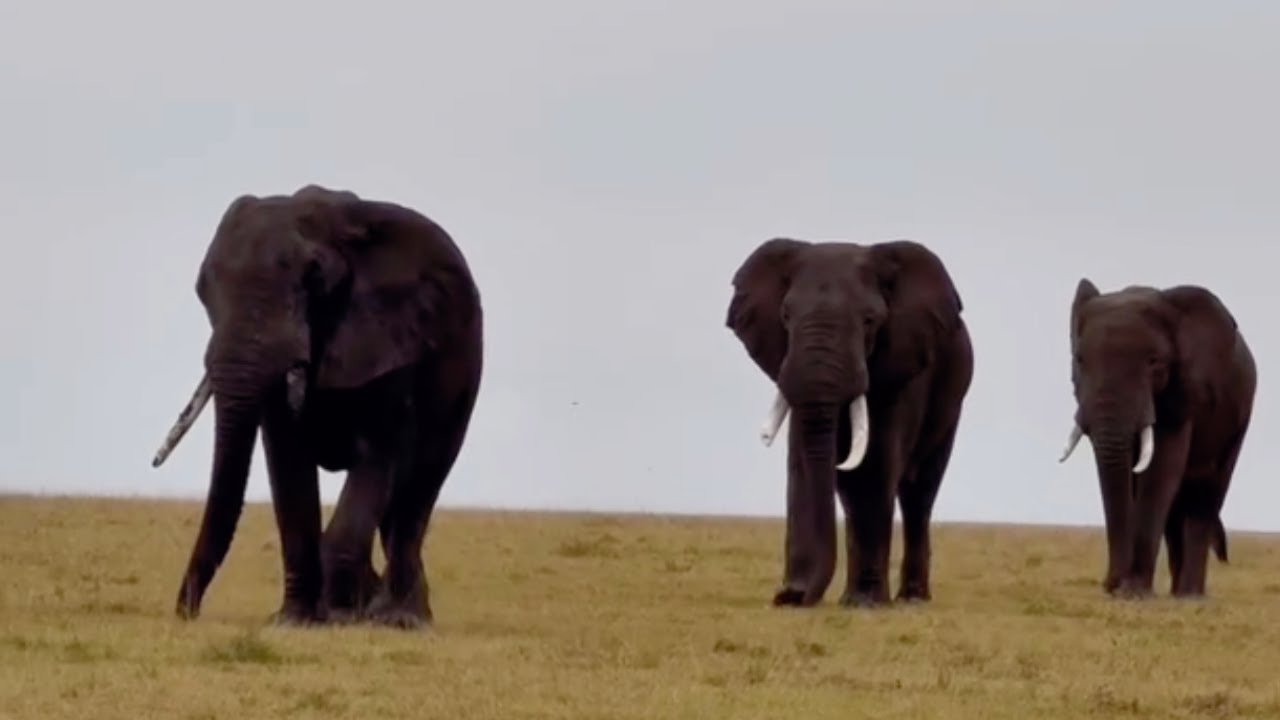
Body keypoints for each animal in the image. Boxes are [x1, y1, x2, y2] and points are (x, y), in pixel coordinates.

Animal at [150, 184, 484, 628]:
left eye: (315, 279)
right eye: (202, 290)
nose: (187, 611)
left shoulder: (389, 338)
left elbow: (378, 455)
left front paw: (339, 616)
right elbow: (288, 460)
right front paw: (295, 621)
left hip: (463, 373)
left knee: (419, 487)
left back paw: (399, 619)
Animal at [724, 237, 973, 607]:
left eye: (869, 320)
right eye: (785, 316)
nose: (793, 595)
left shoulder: (900, 362)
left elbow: (872, 467)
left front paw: (865, 604)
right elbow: (802, 461)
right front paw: (795, 595)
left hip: (951, 399)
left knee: (919, 492)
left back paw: (912, 599)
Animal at [1058, 278, 1255, 598]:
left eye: (1154, 361)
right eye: (1079, 359)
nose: (1110, 584)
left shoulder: (1184, 392)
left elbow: (1161, 468)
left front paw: (1134, 592)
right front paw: (1127, 589)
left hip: (1240, 418)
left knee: (1206, 493)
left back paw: (1189, 596)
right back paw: (1176, 593)